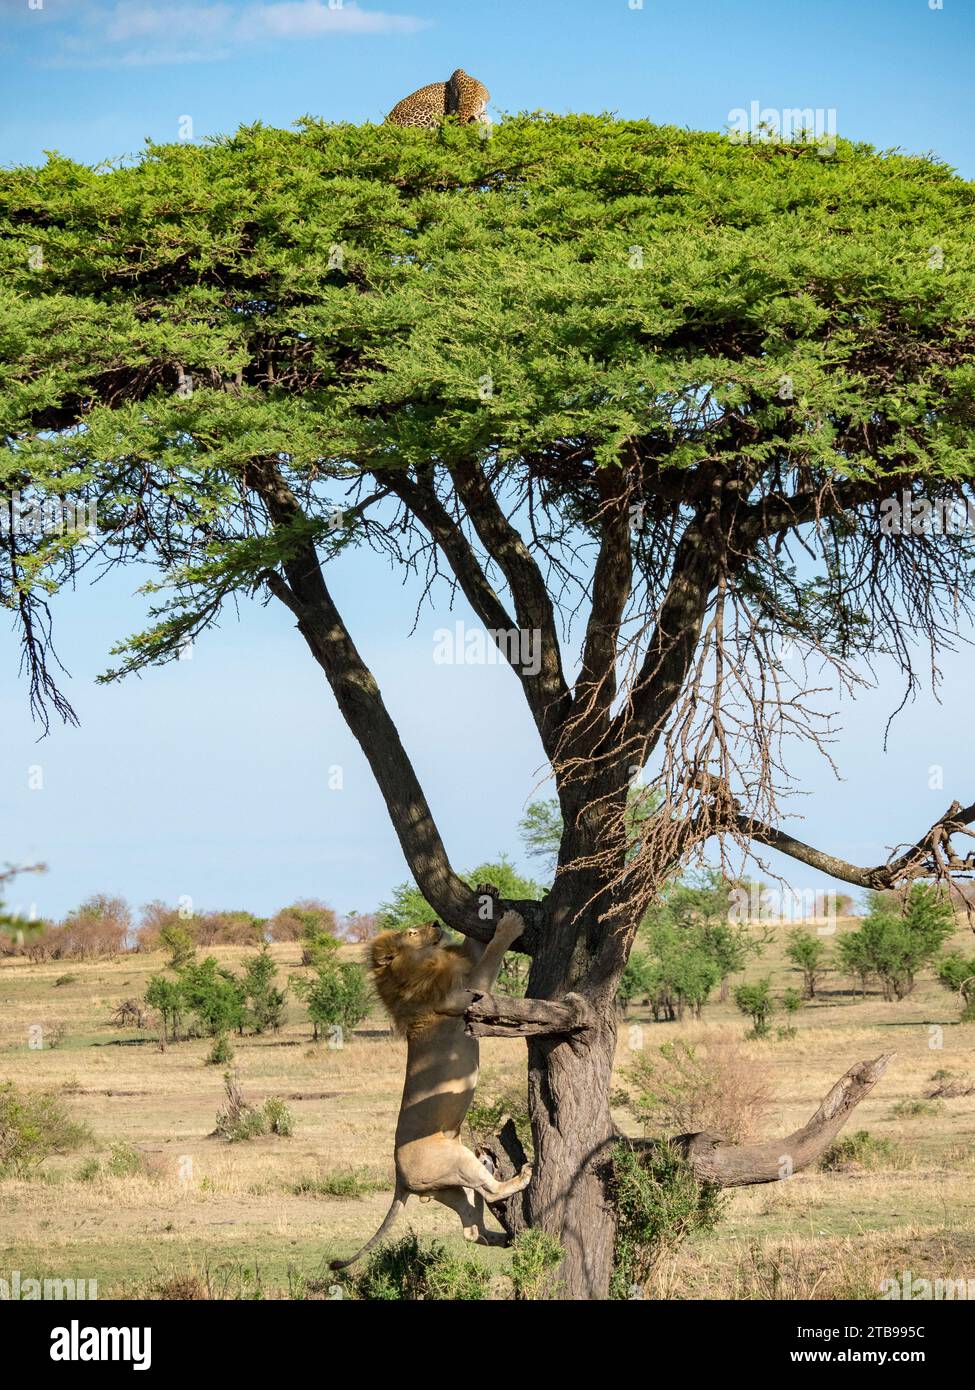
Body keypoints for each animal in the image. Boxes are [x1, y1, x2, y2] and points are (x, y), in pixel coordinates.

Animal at [330, 909, 532, 1269]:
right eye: (412, 932)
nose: (436, 922)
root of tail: (398, 1179)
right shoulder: (467, 994)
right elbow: (491, 955)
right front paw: (510, 924)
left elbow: (477, 946)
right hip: (453, 1160)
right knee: (490, 1194)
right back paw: (521, 1177)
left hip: (448, 1188)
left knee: (472, 1227)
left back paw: (501, 1228)